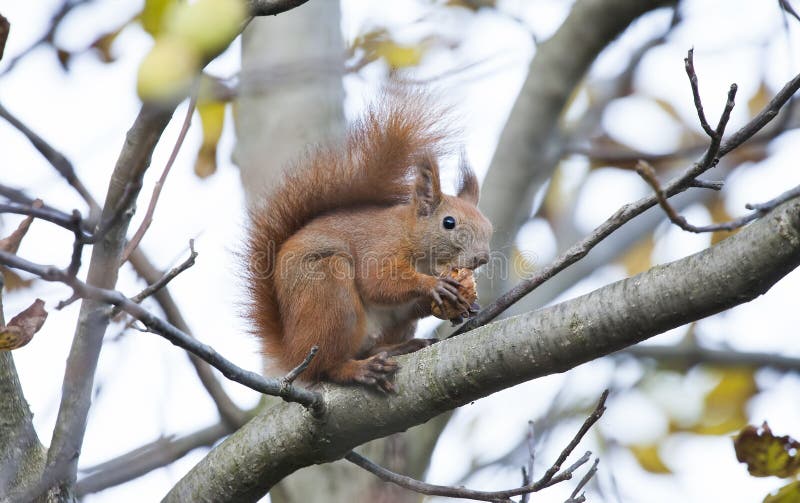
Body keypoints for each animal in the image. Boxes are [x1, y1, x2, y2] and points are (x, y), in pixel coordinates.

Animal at [245, 93, 492, 392]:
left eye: (489, 228)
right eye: (449, 222)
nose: (482, 258)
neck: (410, 236)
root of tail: (292, 351)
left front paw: (462, 306)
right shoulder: (381, 247)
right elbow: (377, 282)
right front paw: (433, 285)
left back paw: (401, 347)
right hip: (327, 291)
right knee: (327, 367)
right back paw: (359, 369)